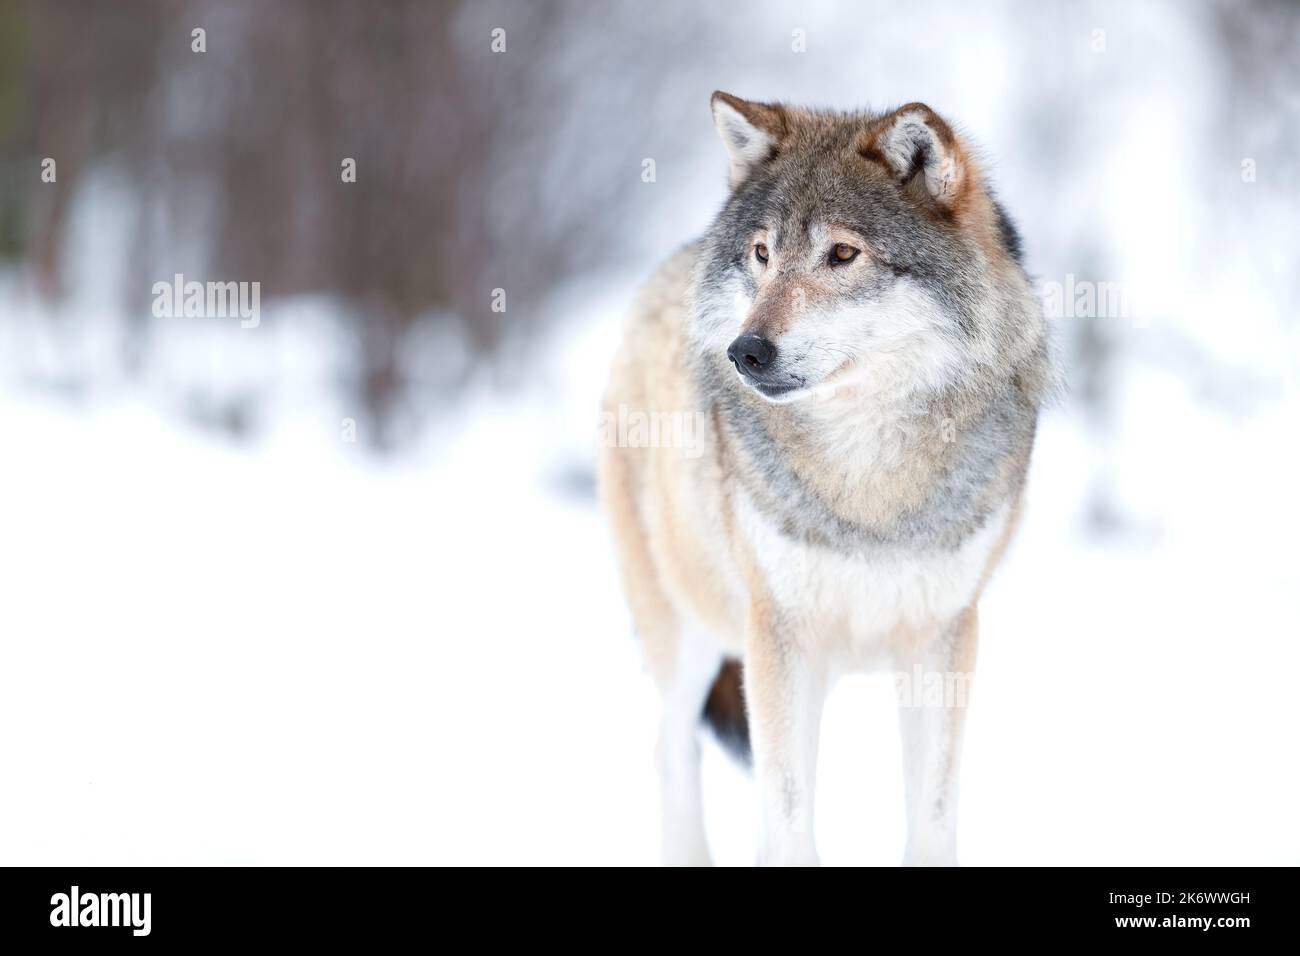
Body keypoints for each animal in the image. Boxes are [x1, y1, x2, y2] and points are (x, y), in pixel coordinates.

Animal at [598, 92, 1049, 866]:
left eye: (842, 254)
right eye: (762, 254)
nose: (746, 351)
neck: (867, 477)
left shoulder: (942, 638)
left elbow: (931, 816)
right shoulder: (780, 638)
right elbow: (788, 818)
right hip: (688, 634)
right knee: (671, 749)